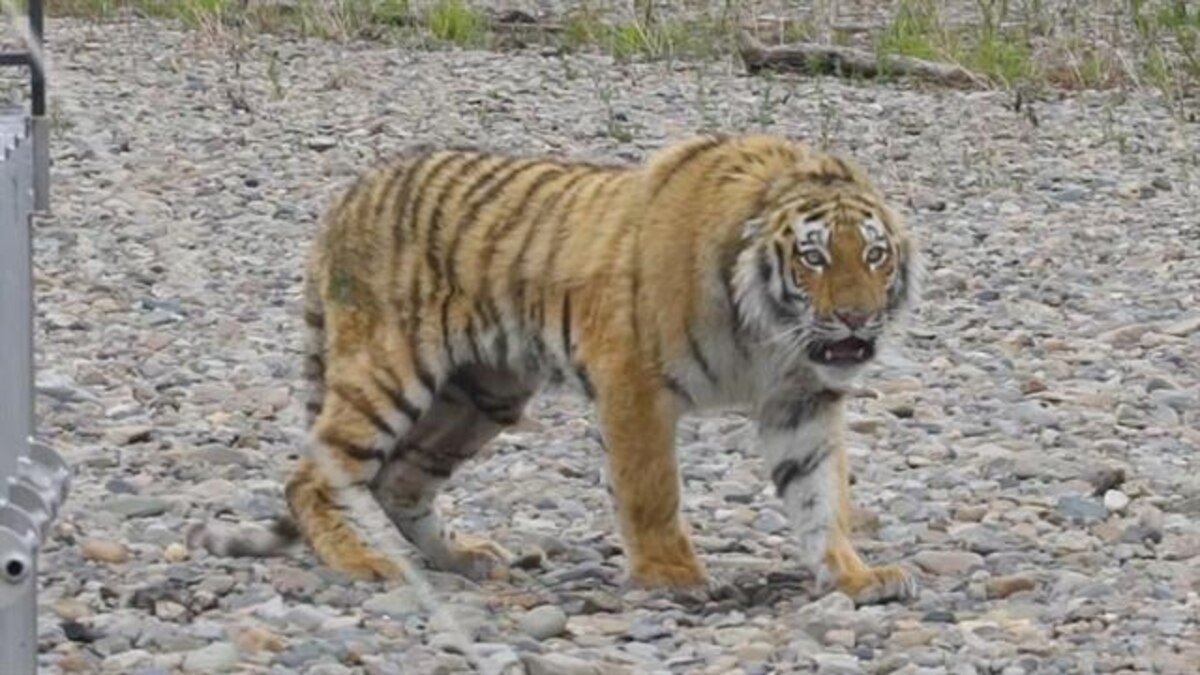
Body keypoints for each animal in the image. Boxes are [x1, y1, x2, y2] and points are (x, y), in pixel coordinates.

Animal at [188, 133, 921, 605]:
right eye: (814, 258)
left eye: (875, 255)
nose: (855, 319)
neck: (772, 333)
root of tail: (350, 194)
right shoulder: (634, 382)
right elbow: (651, 489)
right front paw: (671, 574)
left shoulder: (802, 399)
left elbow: (820, 495)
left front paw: (853, 576)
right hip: (387, 373)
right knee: (313, 476)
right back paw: (364, 562)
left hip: (480, 396)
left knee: (400, 480)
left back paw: (461, 559)